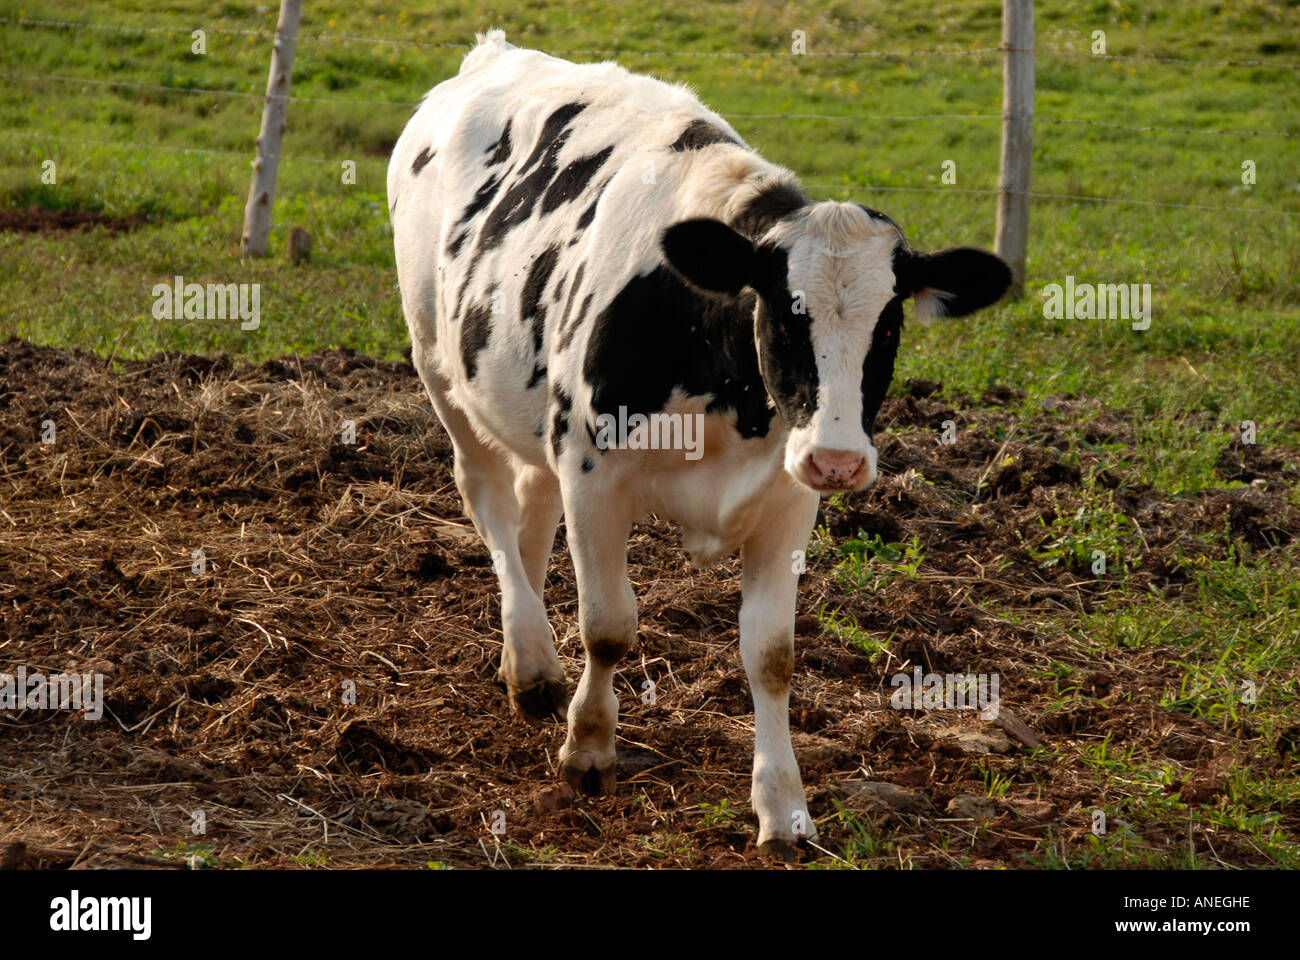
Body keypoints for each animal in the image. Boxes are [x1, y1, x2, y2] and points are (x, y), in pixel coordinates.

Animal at [388, 30, 1012, 859]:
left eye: (888, 327)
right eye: (782, 313)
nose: (839, 459)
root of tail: (492, 53)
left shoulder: (787, 499)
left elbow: (772, 656)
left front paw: (783, 808)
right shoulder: (593, 473)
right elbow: (609, 627)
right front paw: (589, 750)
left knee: (530, 512)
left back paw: (533, 660)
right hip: (440, 363)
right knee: (488, 501)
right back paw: (530, 658)